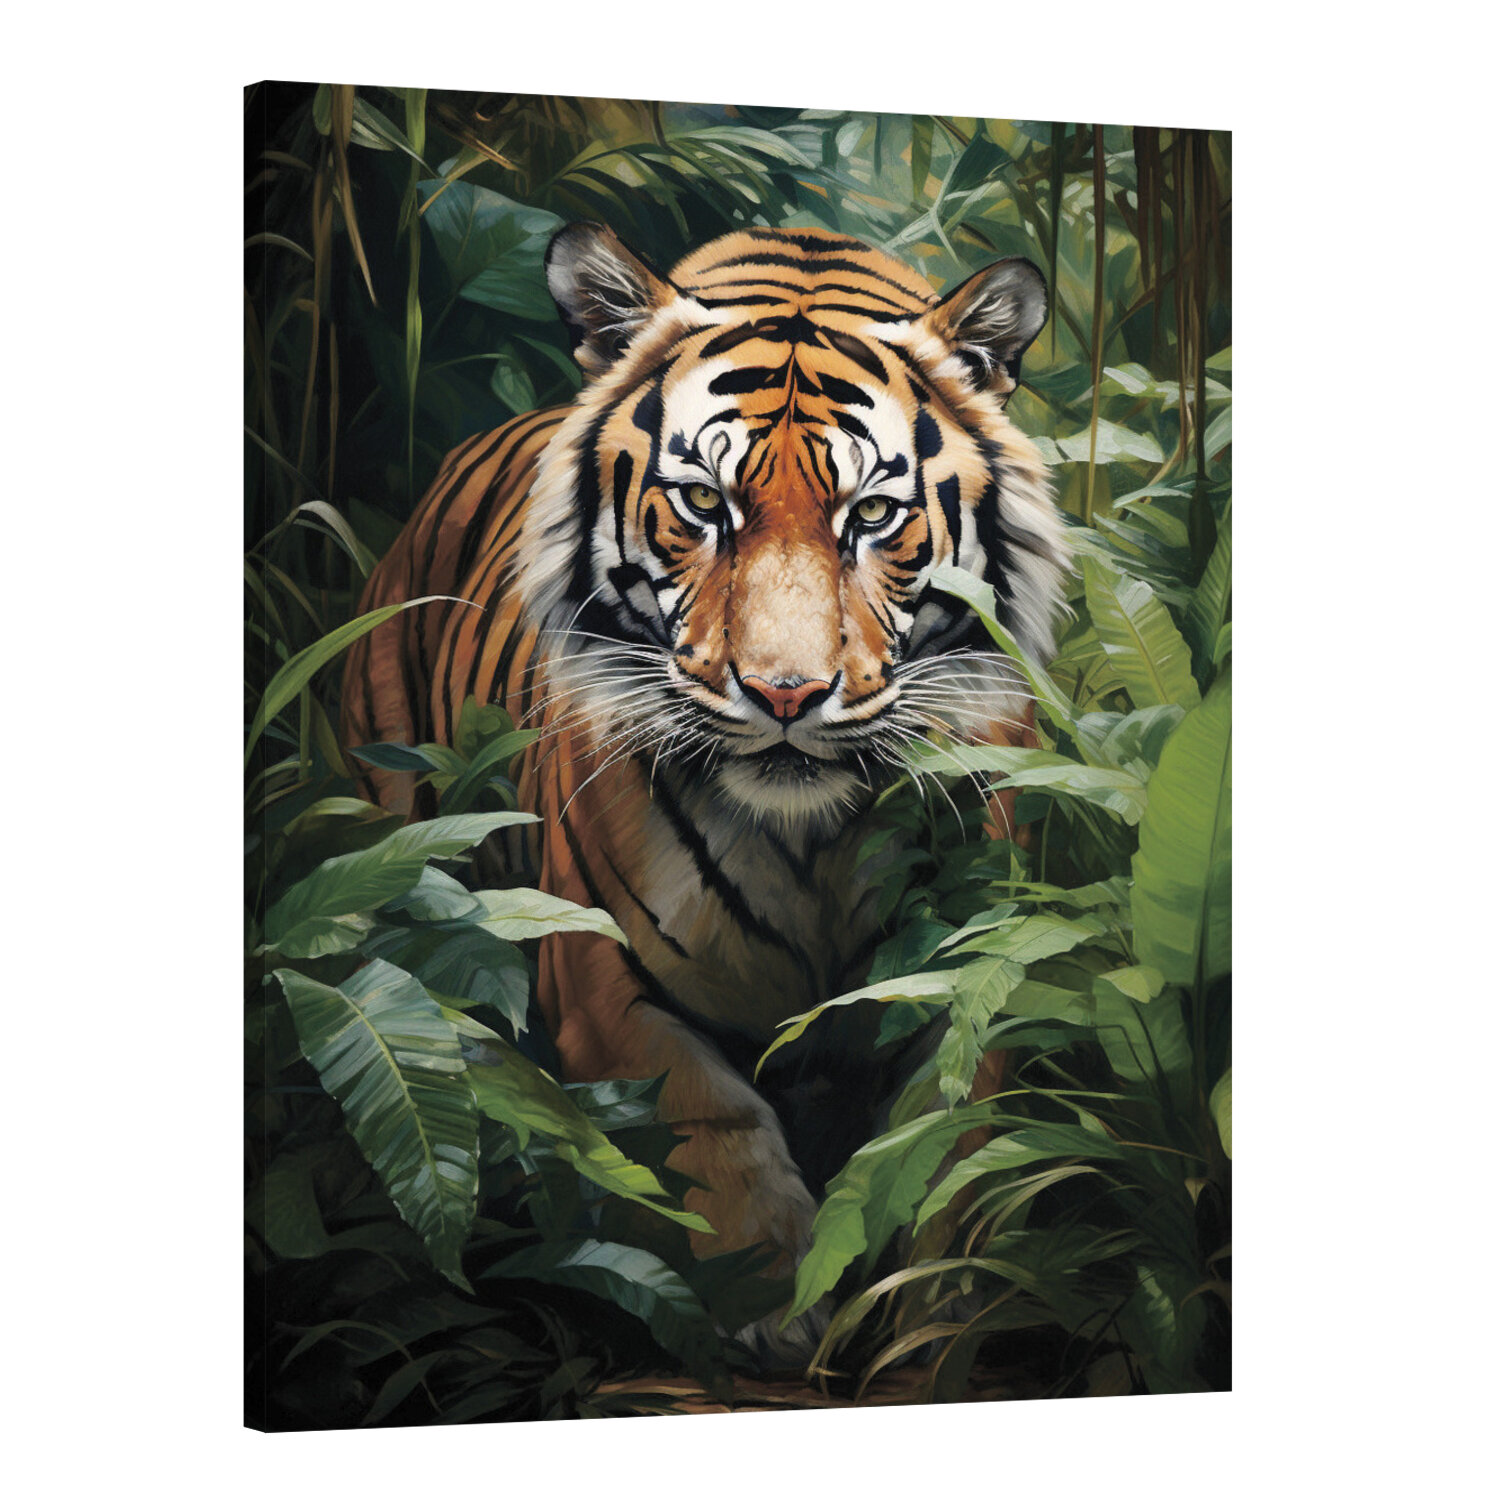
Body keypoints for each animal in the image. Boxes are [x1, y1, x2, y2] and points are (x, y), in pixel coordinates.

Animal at [341, 221, 1069, 1363]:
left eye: (872, 514)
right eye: (702, 504)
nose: (786, 694)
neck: (813, 841)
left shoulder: (969, 968)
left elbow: (944, 1152)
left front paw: (929, 1314)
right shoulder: (608, 984)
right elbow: (712, 1142)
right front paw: (778, 1308)